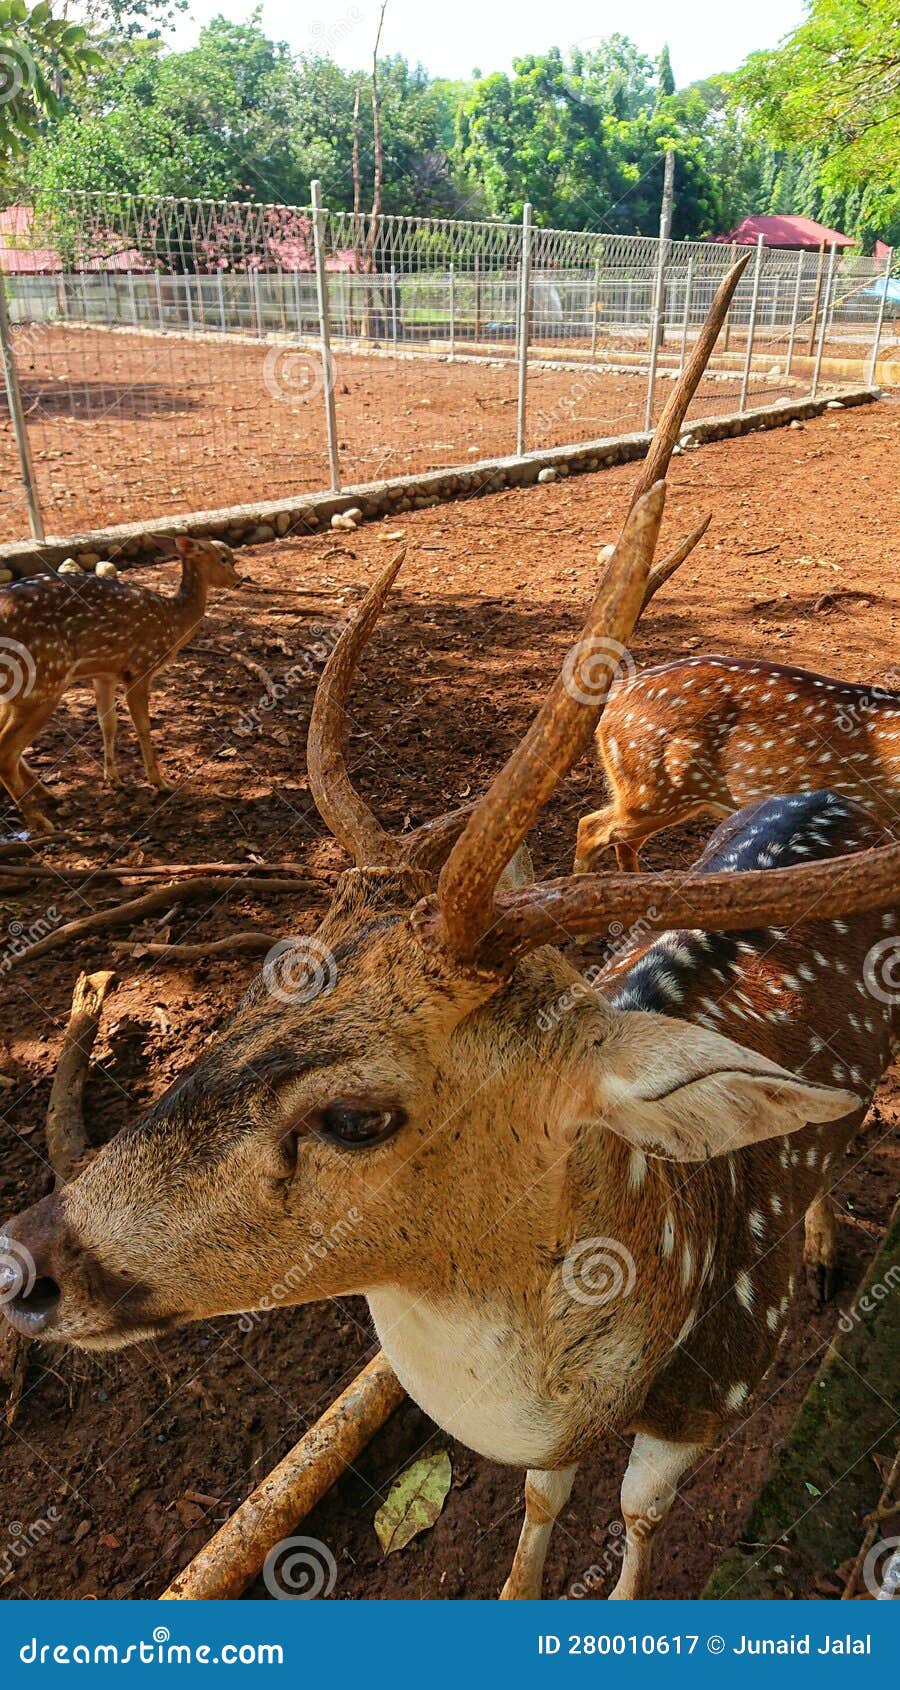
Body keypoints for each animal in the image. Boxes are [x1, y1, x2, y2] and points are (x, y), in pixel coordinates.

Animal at [0, 537, 240, 834]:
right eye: (224, 558)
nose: (239, 579)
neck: (173, 620)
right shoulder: (141, 666)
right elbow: (143, 725)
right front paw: (159, 782)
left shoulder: (105, 673)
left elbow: (108, 723)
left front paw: (113, 778)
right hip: (40, 681)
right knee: (6, 751)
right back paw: (39, 821)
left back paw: (48, 796)